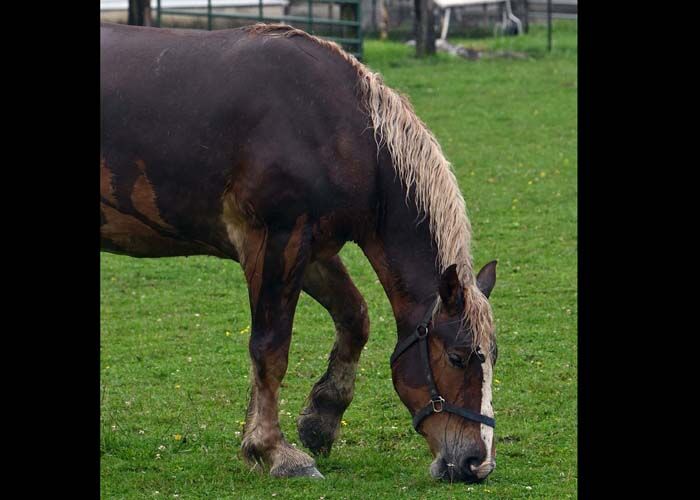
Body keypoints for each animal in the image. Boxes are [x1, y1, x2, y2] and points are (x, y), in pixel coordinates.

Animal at [100, 22, 498, 483]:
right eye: (457, 357)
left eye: (493, 356)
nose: (477, 462)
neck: (334, 127)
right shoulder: (276, 239)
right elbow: (270, 348)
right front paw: (275, 451)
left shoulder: (314, 249)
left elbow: (354, 318)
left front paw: (318, 421)